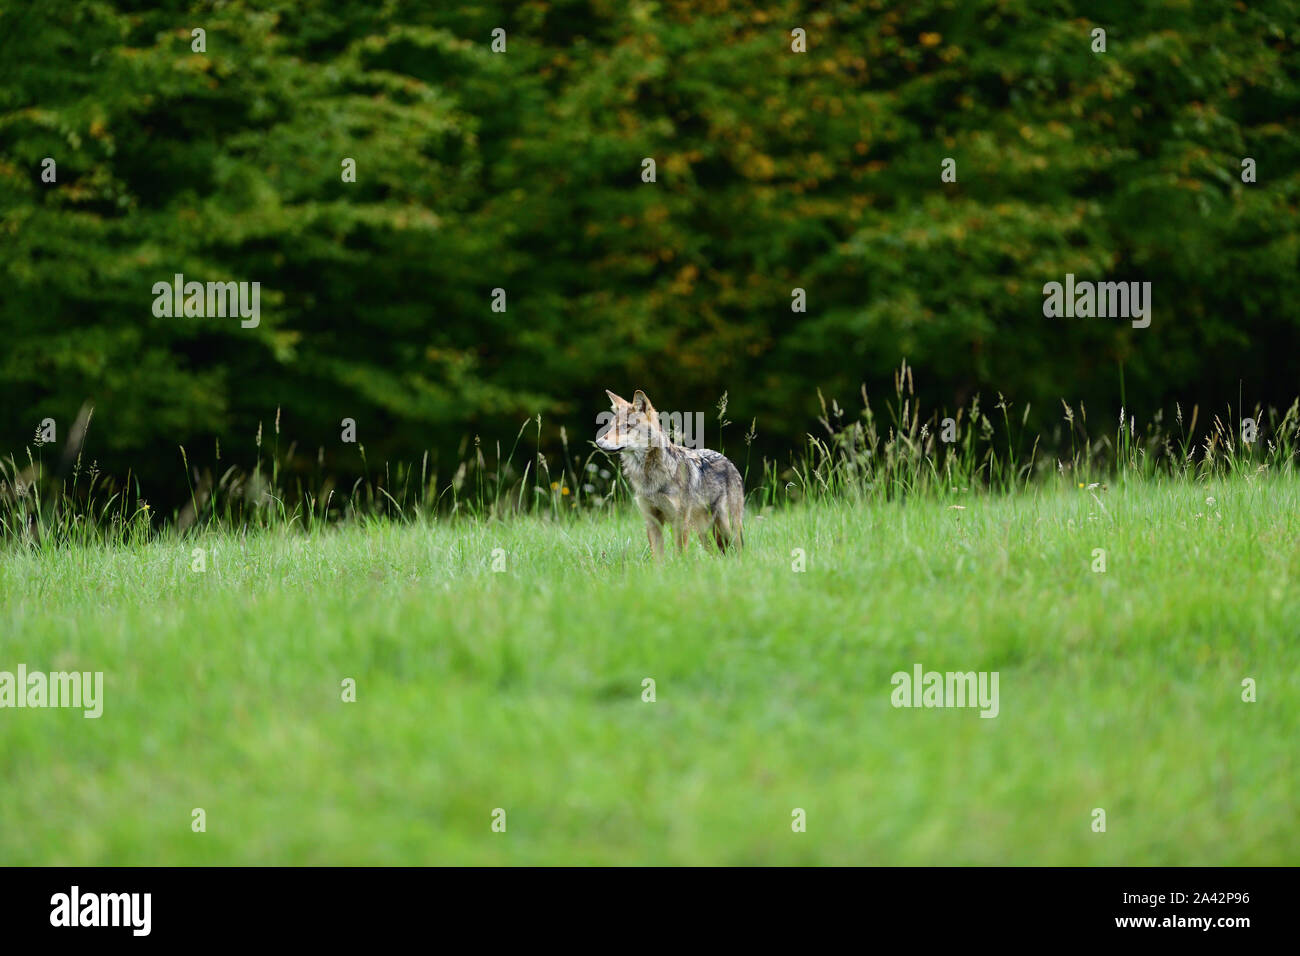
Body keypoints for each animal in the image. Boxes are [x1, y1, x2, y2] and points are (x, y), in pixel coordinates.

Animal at [596, 389, 744, 557]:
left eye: (627, 426)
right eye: (611, 427)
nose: (598, 442)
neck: (650, 477)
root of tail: (727, 460)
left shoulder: (679, 521)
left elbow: (680, 553)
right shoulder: (652, 521)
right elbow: (657, 557)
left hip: (728, 525)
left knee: (737, 548)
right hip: (703, 531)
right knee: (716, 552)